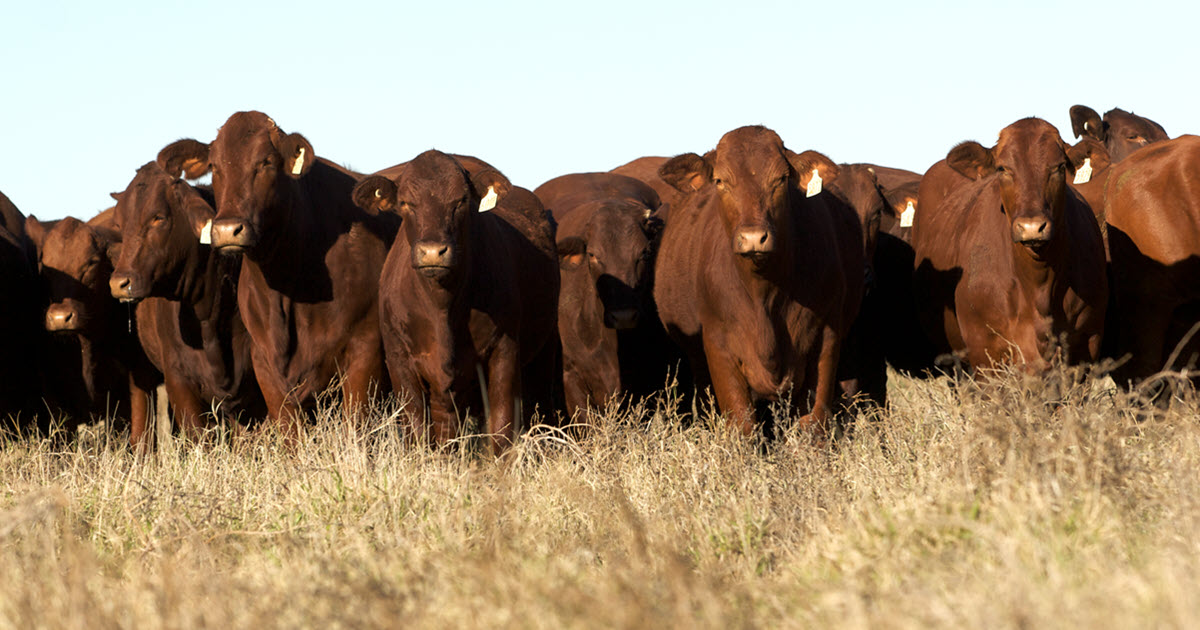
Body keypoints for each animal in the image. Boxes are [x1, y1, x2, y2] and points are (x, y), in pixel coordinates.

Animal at [352, 150, 559, 454]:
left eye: (460, 201)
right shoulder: (399, 360)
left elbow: (501, 431)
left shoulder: (504, 353)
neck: (442, 309)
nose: (432, 251)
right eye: (405, 202)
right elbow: (417, 432)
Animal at [653, 126, 863, 438]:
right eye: (720, 181)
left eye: (780, 180)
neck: (764, 297)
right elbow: (742, 425)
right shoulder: (719, 347)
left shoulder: (826, 339)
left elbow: (813, 425)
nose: (754, 237)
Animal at [912, 118, 1107, 375]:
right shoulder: (984, 352)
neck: (1038, 286)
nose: (1032, 227)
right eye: (1002, 169)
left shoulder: (1087, 344)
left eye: (1059, 167)